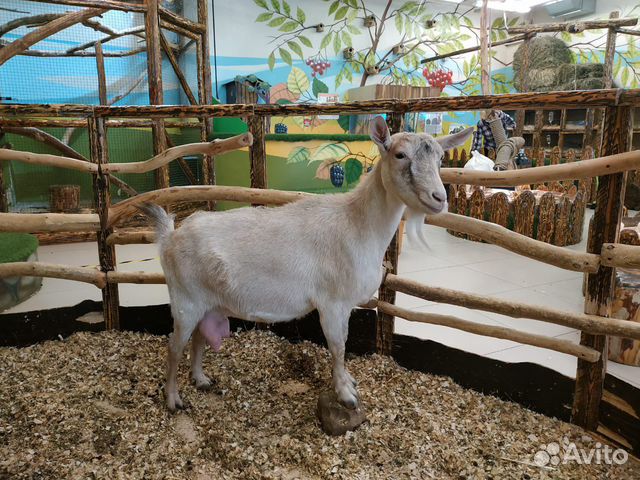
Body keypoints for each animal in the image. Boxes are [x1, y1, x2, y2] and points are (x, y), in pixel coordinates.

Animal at [141, 116, 473, 412]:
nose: (439, 198)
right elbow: (338, 346)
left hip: (207, 302)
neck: (357, 223)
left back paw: (200, 379)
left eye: (441, 158)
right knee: (174, 346)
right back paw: (173, 400)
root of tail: (170, 236)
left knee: (198, 338)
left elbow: (344, 344)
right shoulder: (332, 302)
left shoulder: (346, 305)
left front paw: (348, 383)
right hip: (185, 299)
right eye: (399, 154)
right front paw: (345, 394)